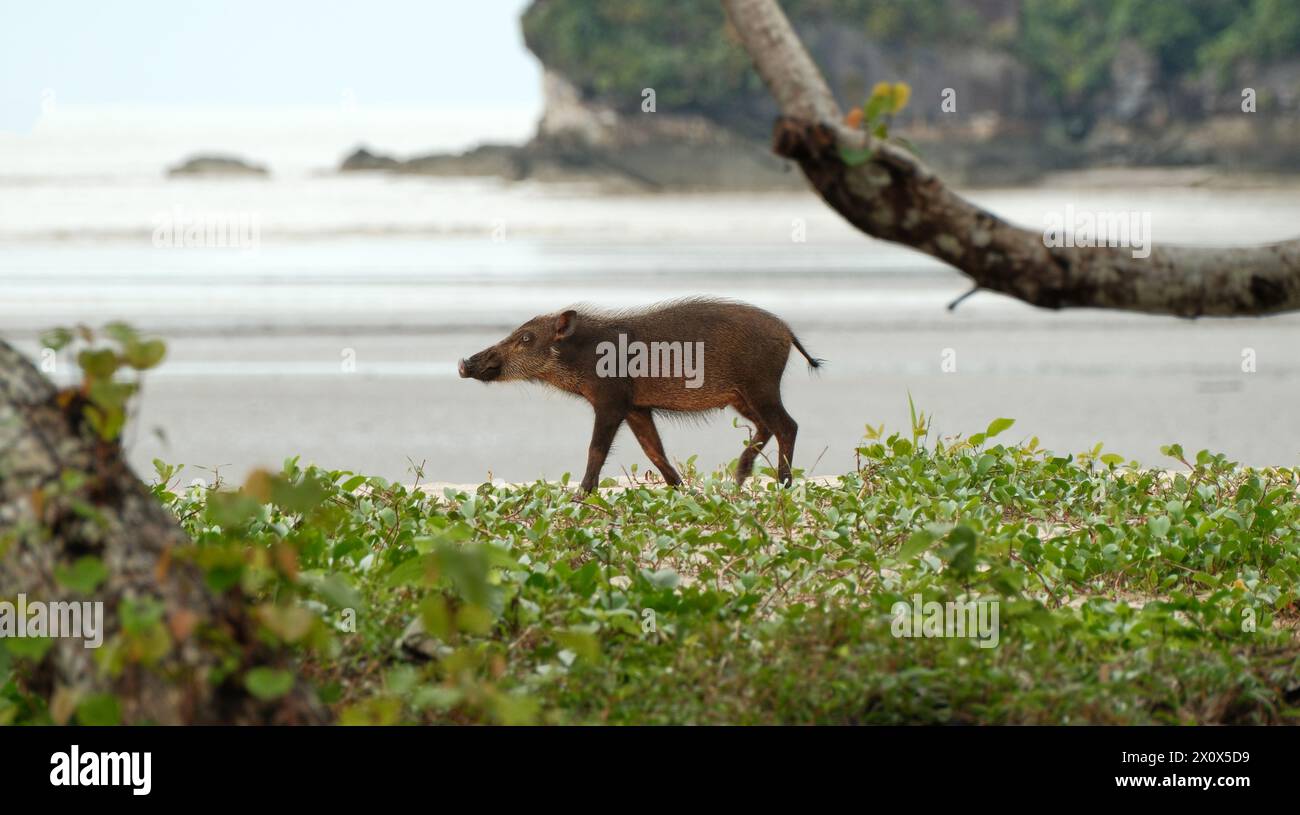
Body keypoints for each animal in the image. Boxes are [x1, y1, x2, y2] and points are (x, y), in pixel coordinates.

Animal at [458, 297, 821, 494]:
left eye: (526, 338)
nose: (464, 364)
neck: (580, 356)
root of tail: (788, 332)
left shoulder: (611, 401)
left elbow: (597, 449)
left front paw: (579, 495)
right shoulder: (636, 408)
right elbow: (654, 451)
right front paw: (680, 489)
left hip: (760, 386)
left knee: (788, 425)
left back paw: (783, 483)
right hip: (741, 397)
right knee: (767, 426)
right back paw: (740, 477)